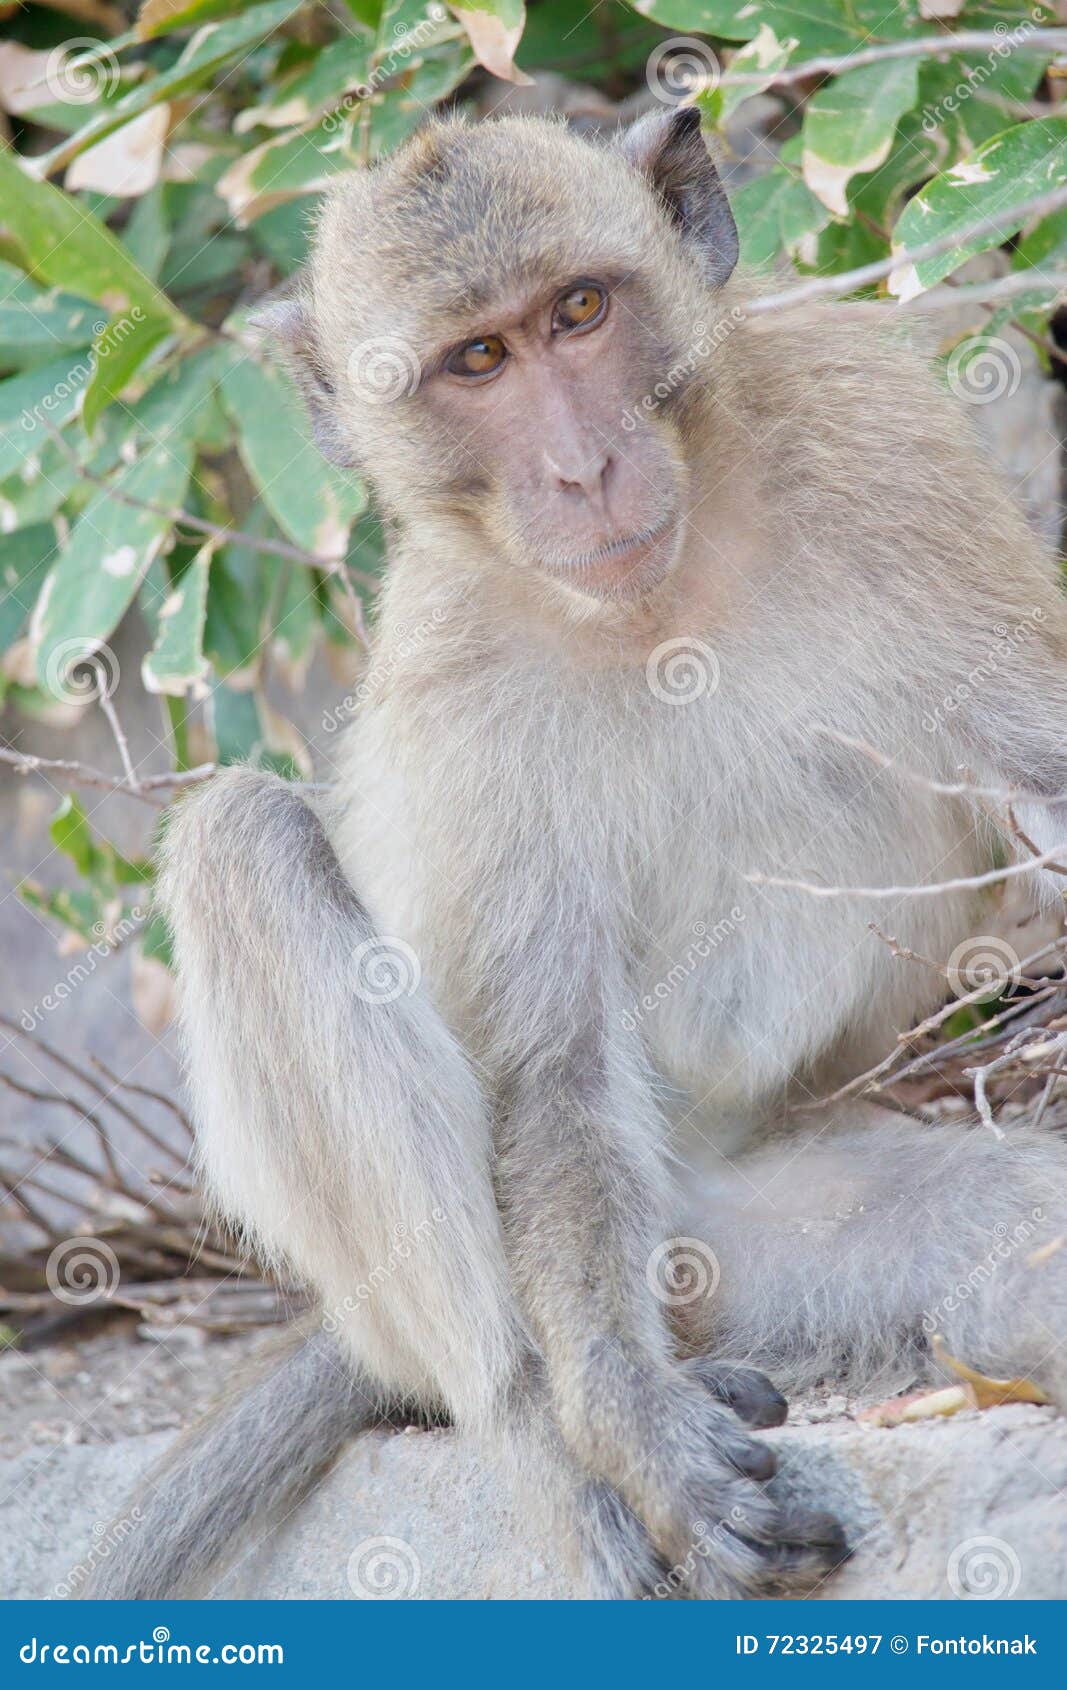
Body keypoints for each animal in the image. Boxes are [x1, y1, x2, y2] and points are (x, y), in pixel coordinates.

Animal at [84, 107, 1067, 1601]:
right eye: (476, 362)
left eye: (580, 314)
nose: (580, 469)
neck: (667, 586)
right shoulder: (460, 664)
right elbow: (549, 1072)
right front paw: (623, 1432)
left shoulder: (881, 440)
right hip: (664, 1253)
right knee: (240, 842)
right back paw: (534, 1422)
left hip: (752, 1229)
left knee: (1008, 1241)